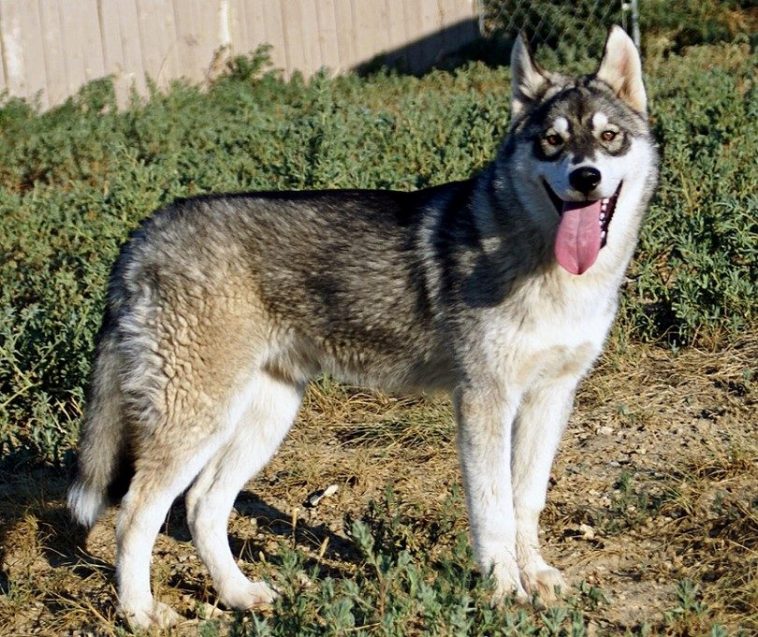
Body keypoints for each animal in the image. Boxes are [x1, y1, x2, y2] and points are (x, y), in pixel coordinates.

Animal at [68, 26, 658, 629]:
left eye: (609, 136)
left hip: (264, 418)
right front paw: (503, 592)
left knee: (202, 505)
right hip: (197, 421)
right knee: (135, 514)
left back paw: (238, 594)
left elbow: (525, 502)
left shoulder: (549, 398)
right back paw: (140, 613)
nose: (585, 177)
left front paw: (534, 576)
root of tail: (143, 234)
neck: (547, 269)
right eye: (551, 141)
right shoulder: (483, 401)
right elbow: (493, 511)